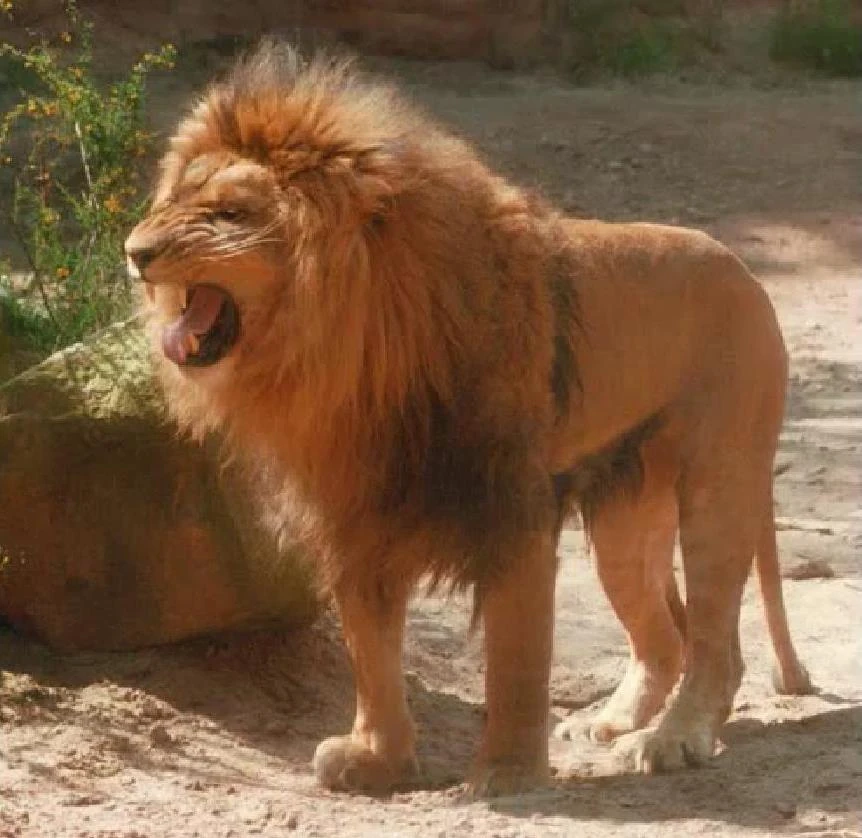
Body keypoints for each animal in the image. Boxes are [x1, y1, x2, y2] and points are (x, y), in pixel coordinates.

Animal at [125, 42, 813, 796]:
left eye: (227, 212)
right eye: (174, 199)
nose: (134, 252)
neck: (355, 354)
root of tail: (746, 271)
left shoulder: (509, 506)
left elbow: (515, 653)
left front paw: (506, 773)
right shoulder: (358, 511)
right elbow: (370, 650)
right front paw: (377, 759)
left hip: (720, 482)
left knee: (717, 642)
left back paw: (672, 739)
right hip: (624, 525)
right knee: (668, 638)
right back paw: (610, 723)